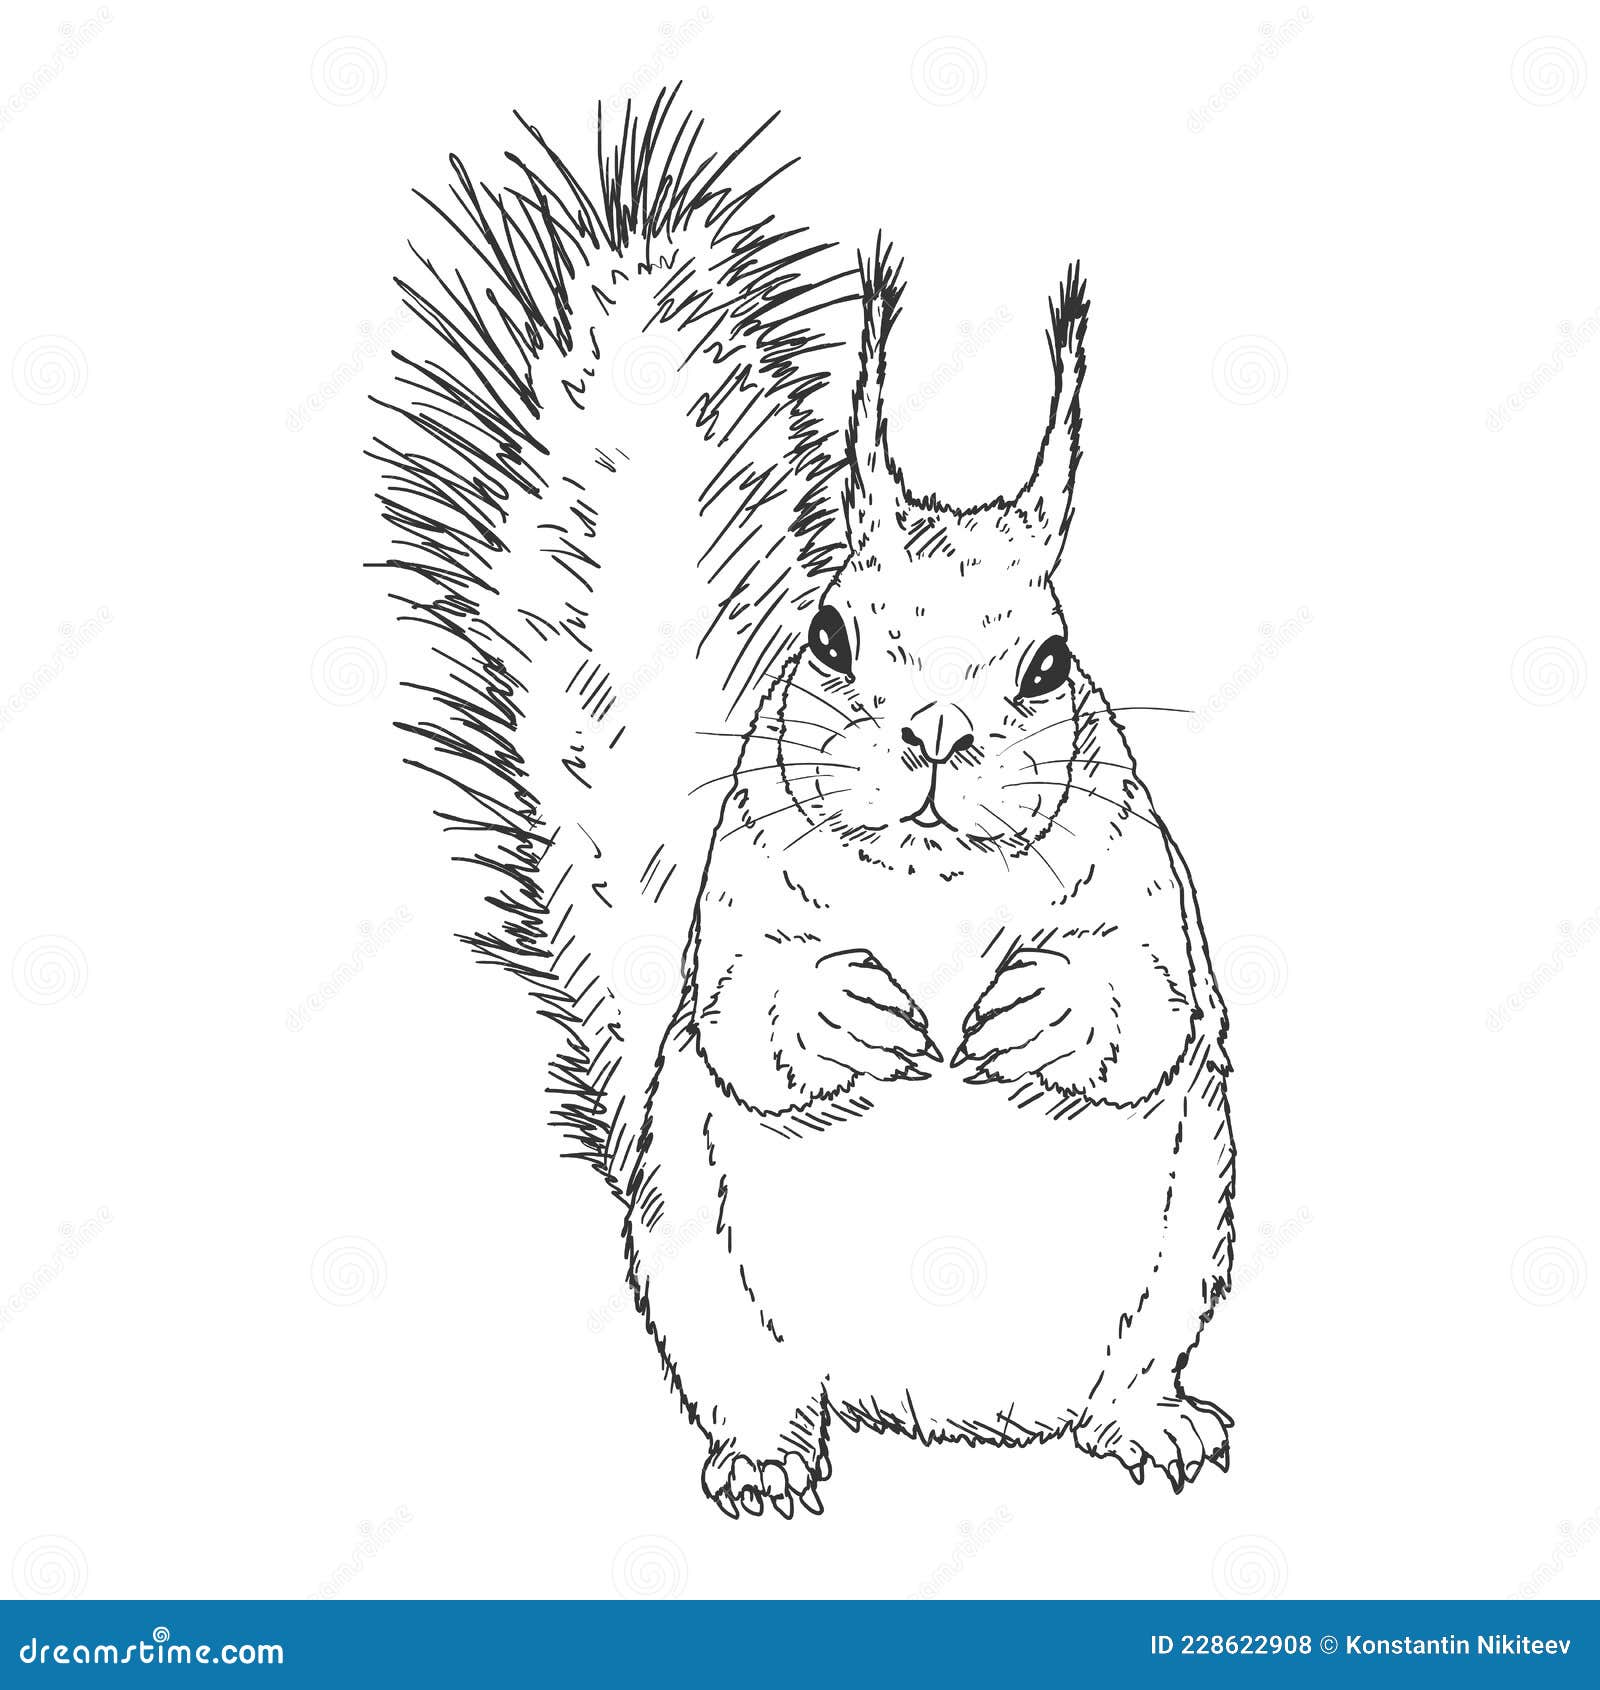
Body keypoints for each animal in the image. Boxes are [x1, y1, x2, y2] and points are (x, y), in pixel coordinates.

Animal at [373, 90, 1237, 1518]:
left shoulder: (1146, 889)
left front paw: (1035, 1006)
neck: (938, 896)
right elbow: (748, 1011)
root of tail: (945, 1415)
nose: (933, 734)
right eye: (829, 636)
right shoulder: (739, 904)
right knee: (760, 1390)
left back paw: (1148, 1425)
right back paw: (770, 1459)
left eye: (1048, 663)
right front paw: (853, 1008)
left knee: (1124, 1381)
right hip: (700, 1275)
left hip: (1179, 1262)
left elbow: (1148, 1000)